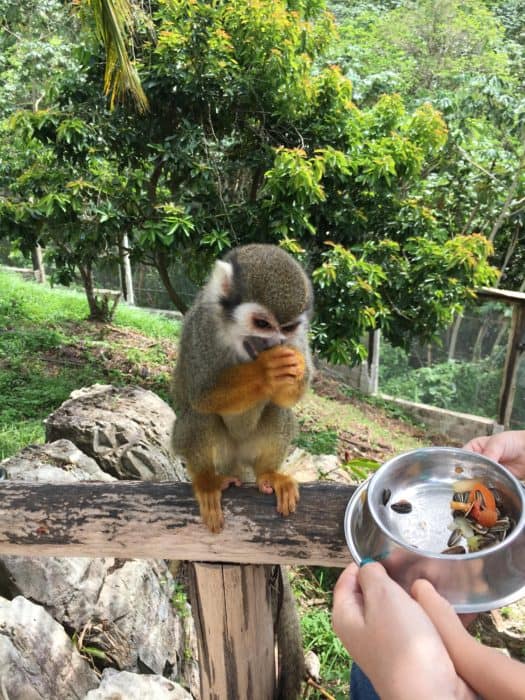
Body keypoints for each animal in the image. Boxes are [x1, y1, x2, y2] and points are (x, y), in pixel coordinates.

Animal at [171, 243, 314, 533]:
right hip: (209, 448)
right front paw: (266, 370)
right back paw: (206, 478)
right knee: (199, 414)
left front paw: (295, 366)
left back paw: (268, 473)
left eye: (288, 328)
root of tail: (235, 462)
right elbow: (201, 393)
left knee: (277, 409)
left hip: (248, 450)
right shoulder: (202, 325)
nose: (276, 343)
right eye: (262, 324)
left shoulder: (299, 336)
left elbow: (290, 396)